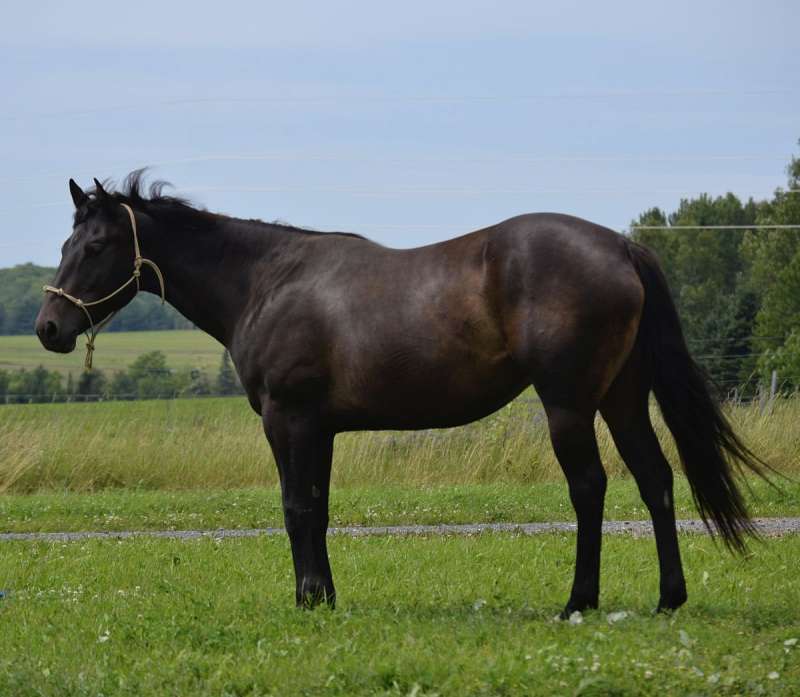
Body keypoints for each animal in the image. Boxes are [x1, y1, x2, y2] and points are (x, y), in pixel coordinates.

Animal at [35, 171, 767, 616]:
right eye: (67, 240)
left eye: (95, 244)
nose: (49, 327)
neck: (266, 280)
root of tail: (619, 246)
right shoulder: (320, 429)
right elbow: (319, 510)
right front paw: (324, 597)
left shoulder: (287, 420)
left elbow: (295, 508)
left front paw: (306, 598)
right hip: (621, 398)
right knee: (656, 479)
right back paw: (668, 598)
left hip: (569, 404)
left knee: (590, 487)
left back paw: (577, 601)